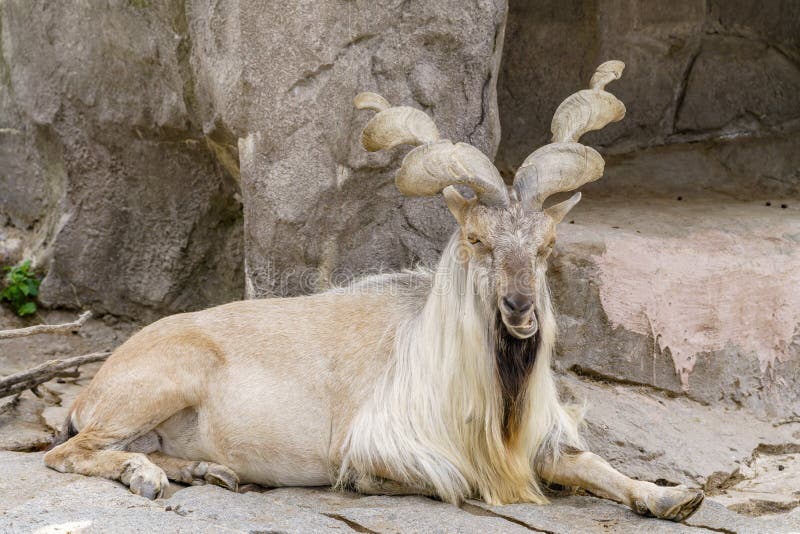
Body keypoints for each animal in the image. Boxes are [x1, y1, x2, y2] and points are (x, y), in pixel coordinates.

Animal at [45, 61, 703, 521]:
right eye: (475, 239)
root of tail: (91, 390)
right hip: (159, 384)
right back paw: (147, 476)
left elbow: (594, 463)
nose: (520, 309)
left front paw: (672, 497)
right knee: (67, 454)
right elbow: (454, 480)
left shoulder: (541, 440)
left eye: (546, 245)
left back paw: (204, 472)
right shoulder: (382, 447)